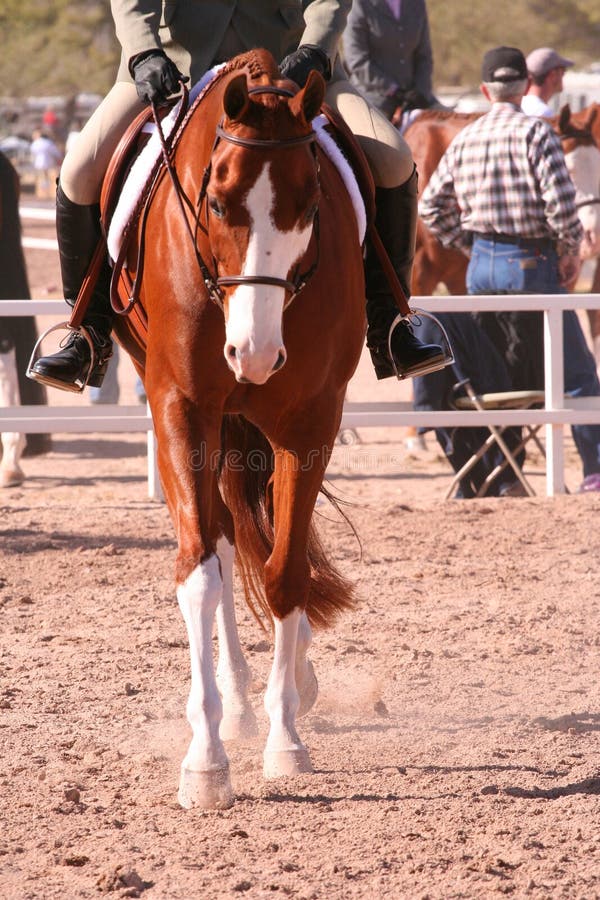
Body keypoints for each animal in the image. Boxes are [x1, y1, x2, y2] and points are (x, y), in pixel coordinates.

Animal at [107, 50, 366, 809]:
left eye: (309, 206)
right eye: (217, 204)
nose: (252, 355)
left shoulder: (311, 419)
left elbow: (286, 572)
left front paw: (286, 740)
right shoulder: (182, 408)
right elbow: (200, 569)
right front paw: (207, 760)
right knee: (221, 541)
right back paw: (239, 704)